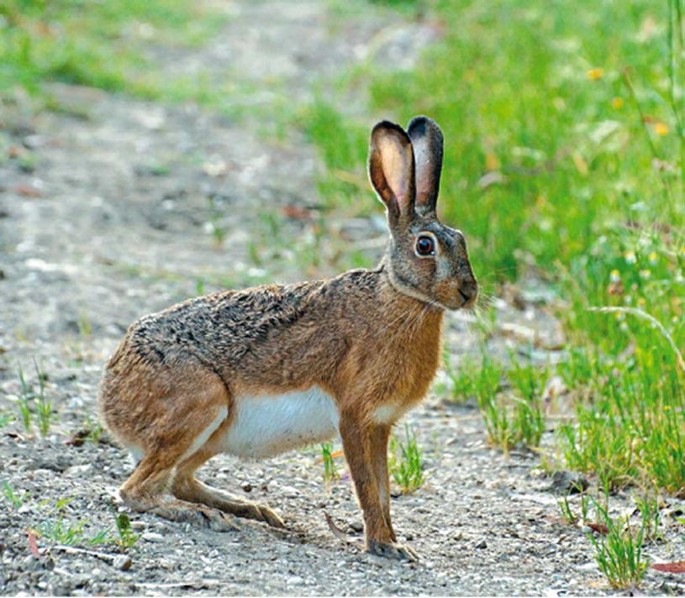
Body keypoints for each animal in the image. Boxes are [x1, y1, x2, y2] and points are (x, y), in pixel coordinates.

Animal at [98, 115, 478, 562]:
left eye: (461, 238)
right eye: (425, 246)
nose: (468, 292)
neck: (399, 297)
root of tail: (110, 398)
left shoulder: (380, 424)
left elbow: (383, 490)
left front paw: (393, 542)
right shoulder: (355, 418)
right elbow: (368, 488)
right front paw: (385, 546)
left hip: (212, 431)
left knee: (178, 480)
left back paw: (251, 509)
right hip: (200, 403)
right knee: (135, 490)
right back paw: (204, 515)